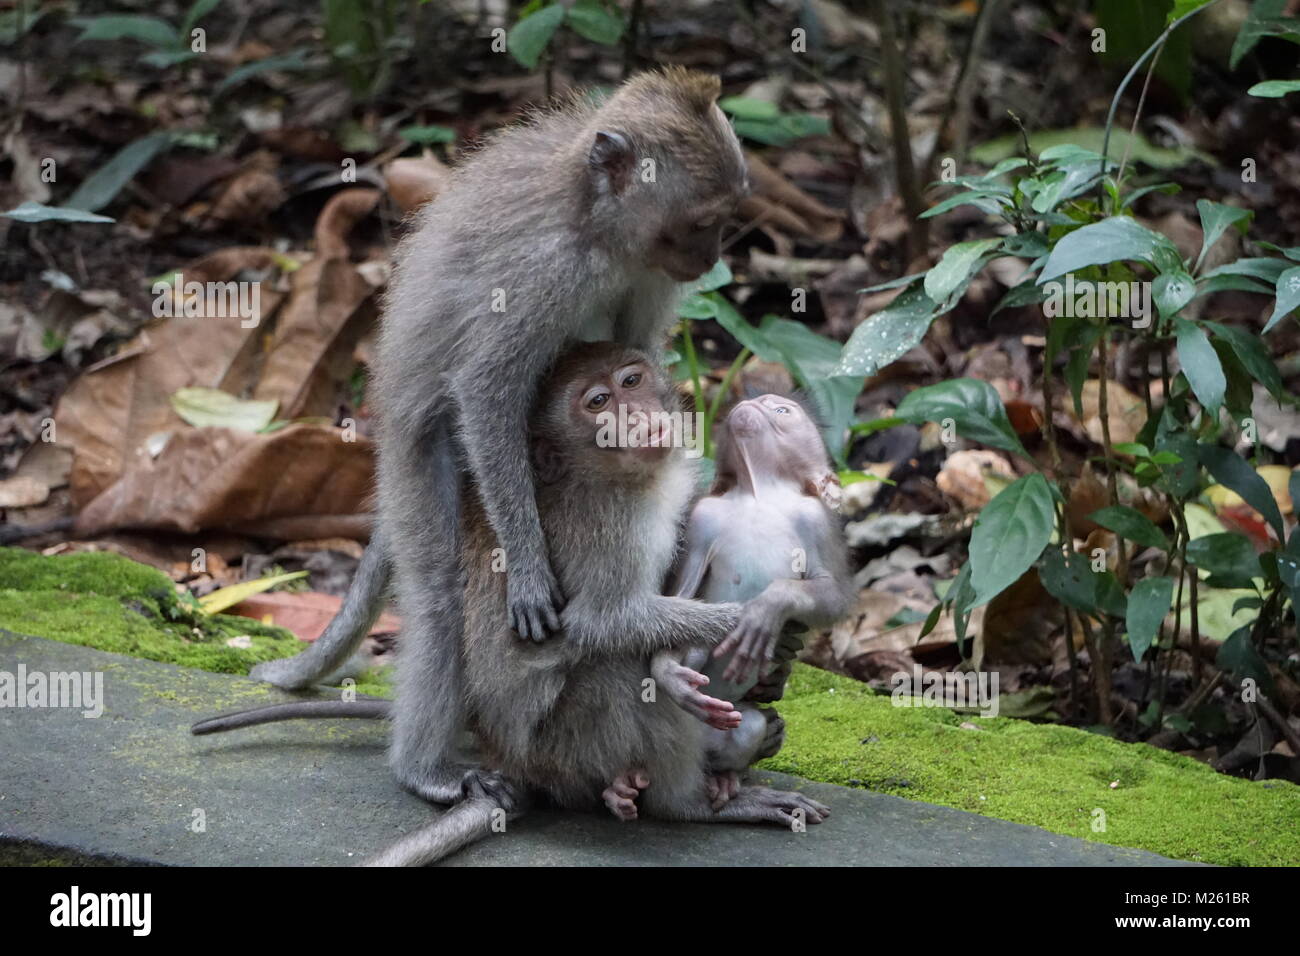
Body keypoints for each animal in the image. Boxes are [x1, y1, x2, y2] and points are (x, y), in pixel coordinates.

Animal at [196, 345, 829, 865]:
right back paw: (689, 803)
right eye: (598, 402)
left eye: (631, 380)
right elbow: (602, 621)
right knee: (617, 670)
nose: (635, 416)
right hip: (567, 742)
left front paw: (771, 665)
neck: (615, 475)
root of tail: (514, 760)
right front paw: (752, 625)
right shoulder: (605, 524)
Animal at [244, 67, 750, 806]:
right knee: (438, 602)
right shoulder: (544, 271)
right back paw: (423, 770)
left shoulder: (646, 270)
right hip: (420, 460)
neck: (591, 225)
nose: (711, 257)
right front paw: (531, 568)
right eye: (704, 222)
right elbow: (486, 389)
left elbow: (632, 340)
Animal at [641, 394, 853, 809]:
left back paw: (725, 777)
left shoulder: (814, 518)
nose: (756, 400)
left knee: (750, 725)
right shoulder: (702, 519)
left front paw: (765, 611)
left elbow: (834, 595)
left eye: (782, 411)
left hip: (728, 722)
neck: (758, 495)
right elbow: (681, 596)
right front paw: (669, 673)